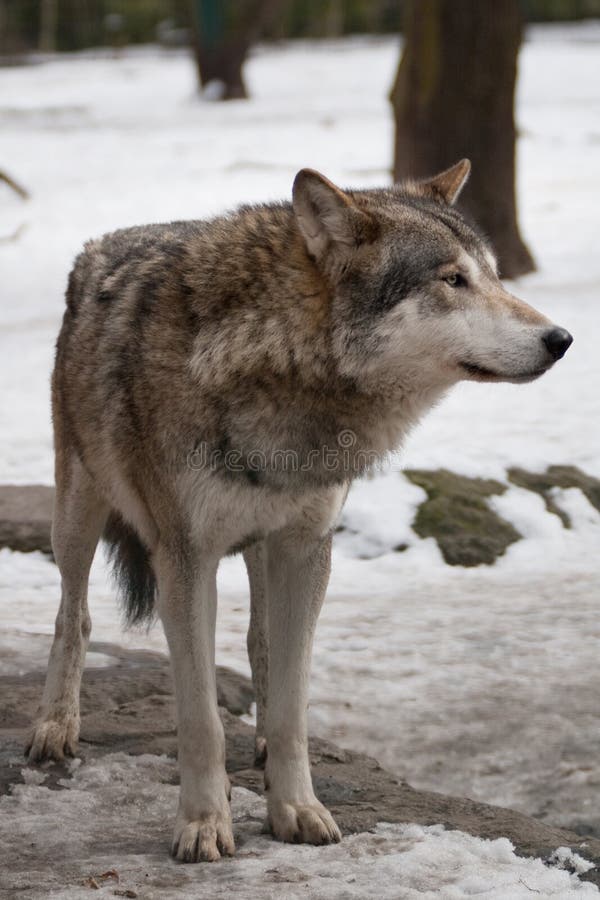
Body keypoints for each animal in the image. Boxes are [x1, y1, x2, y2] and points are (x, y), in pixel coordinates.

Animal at [26, 160, 572, 862]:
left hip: (262, 549)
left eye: (496, 275)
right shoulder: (185, 560)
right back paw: (54, 727)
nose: (562, 339)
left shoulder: (308, 547)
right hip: (76, 516)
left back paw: (256, 742)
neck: (278, 362)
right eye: (453, 279)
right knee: (74, 615)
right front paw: (204, 824)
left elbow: (292, 707)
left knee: (259, 642)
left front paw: (296, 808)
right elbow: (200, 718)